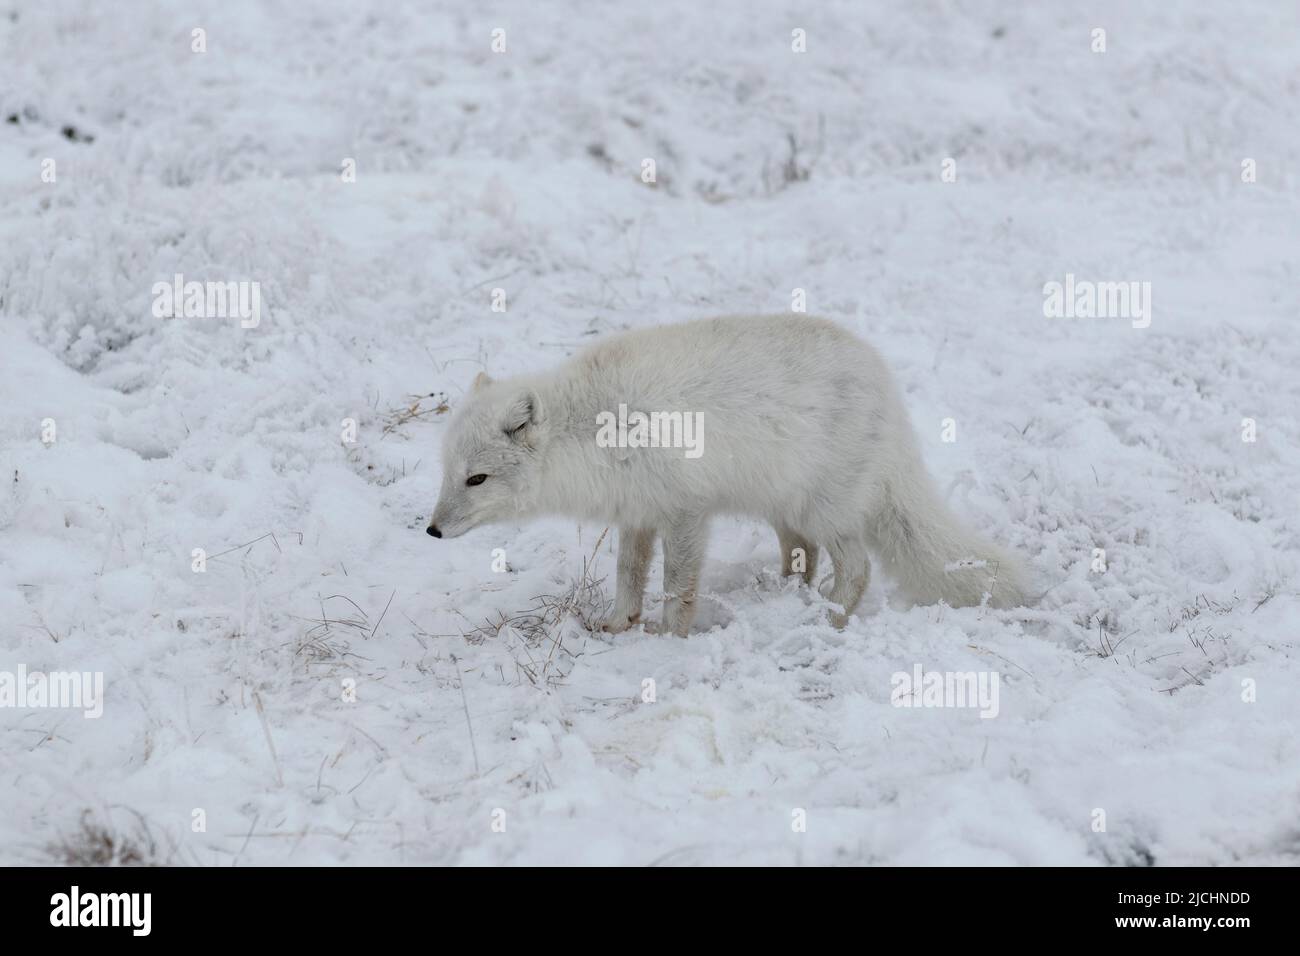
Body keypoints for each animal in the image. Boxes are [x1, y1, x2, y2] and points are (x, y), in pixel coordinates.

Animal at [428, 315, 1029, 636]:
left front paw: (668, 637)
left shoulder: (685, 512)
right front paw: (619, 626)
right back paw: (783, 596)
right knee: (803, 553)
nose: (431, 530)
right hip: (782, 507)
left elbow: (677, 587)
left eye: (477, 480)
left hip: (822, 508)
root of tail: (886, 384)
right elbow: (628, 577)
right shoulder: (638, 514)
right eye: (448, 474)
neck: (595, 427)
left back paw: (827, 619)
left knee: (856, 568)